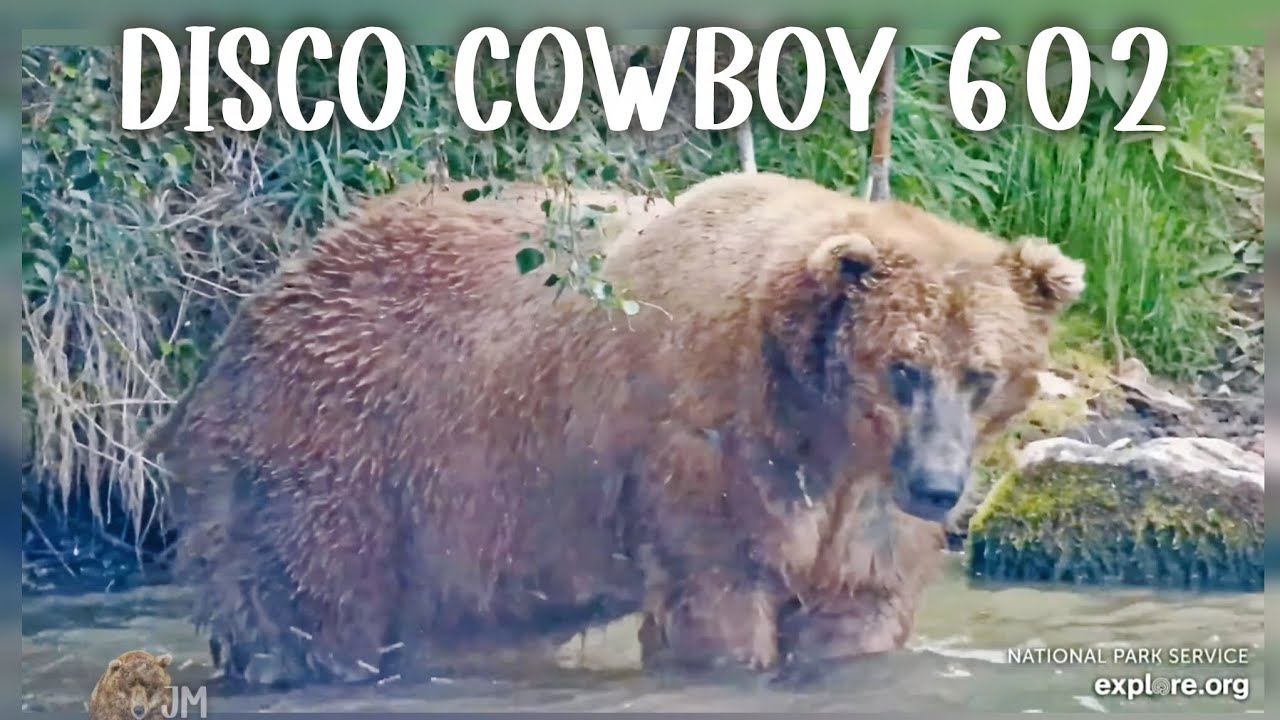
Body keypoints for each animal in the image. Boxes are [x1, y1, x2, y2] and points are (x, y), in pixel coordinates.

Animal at [147, 171, 1085, 687]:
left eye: (981, 373)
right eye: (903, 367)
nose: (938, 486)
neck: (820, 426)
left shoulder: (863, 506)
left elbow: (857, 610)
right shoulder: (708, 440)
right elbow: (718, 599)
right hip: (336, 453)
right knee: (312, 605)